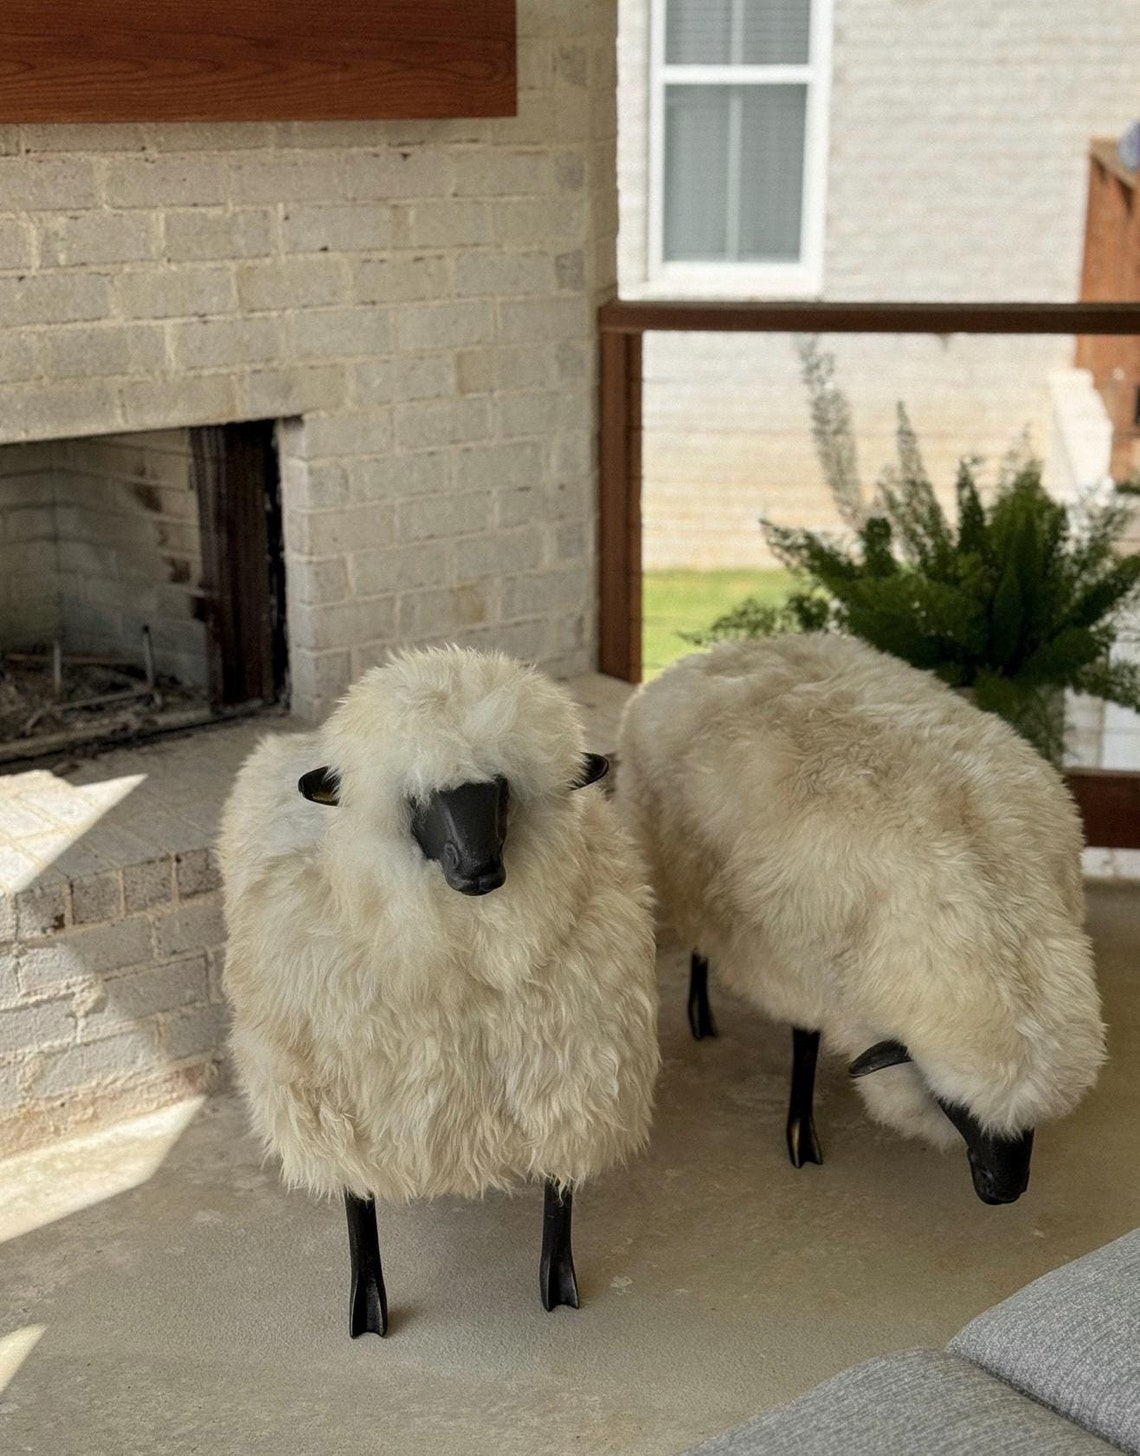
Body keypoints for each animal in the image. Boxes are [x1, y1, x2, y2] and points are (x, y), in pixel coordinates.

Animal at [218, 646, 659, 1335]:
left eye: (501, 789)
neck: (464, 977)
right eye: (419, 799)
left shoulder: (572, 1080)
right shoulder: (345, 1100)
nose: (479, 870)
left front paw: (559, 1285)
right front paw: (367, 1306)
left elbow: (560, 1195)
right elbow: (358, 1206)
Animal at [615, 633, 1105, 1205]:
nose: (1002, 1193)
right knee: (698, 945)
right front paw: (802, 1136)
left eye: (1031, 1127)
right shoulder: (799, 969)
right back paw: (701, 1018)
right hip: (683, 873)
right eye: (955, 1107)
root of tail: (710, 653)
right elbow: (805, 1045)